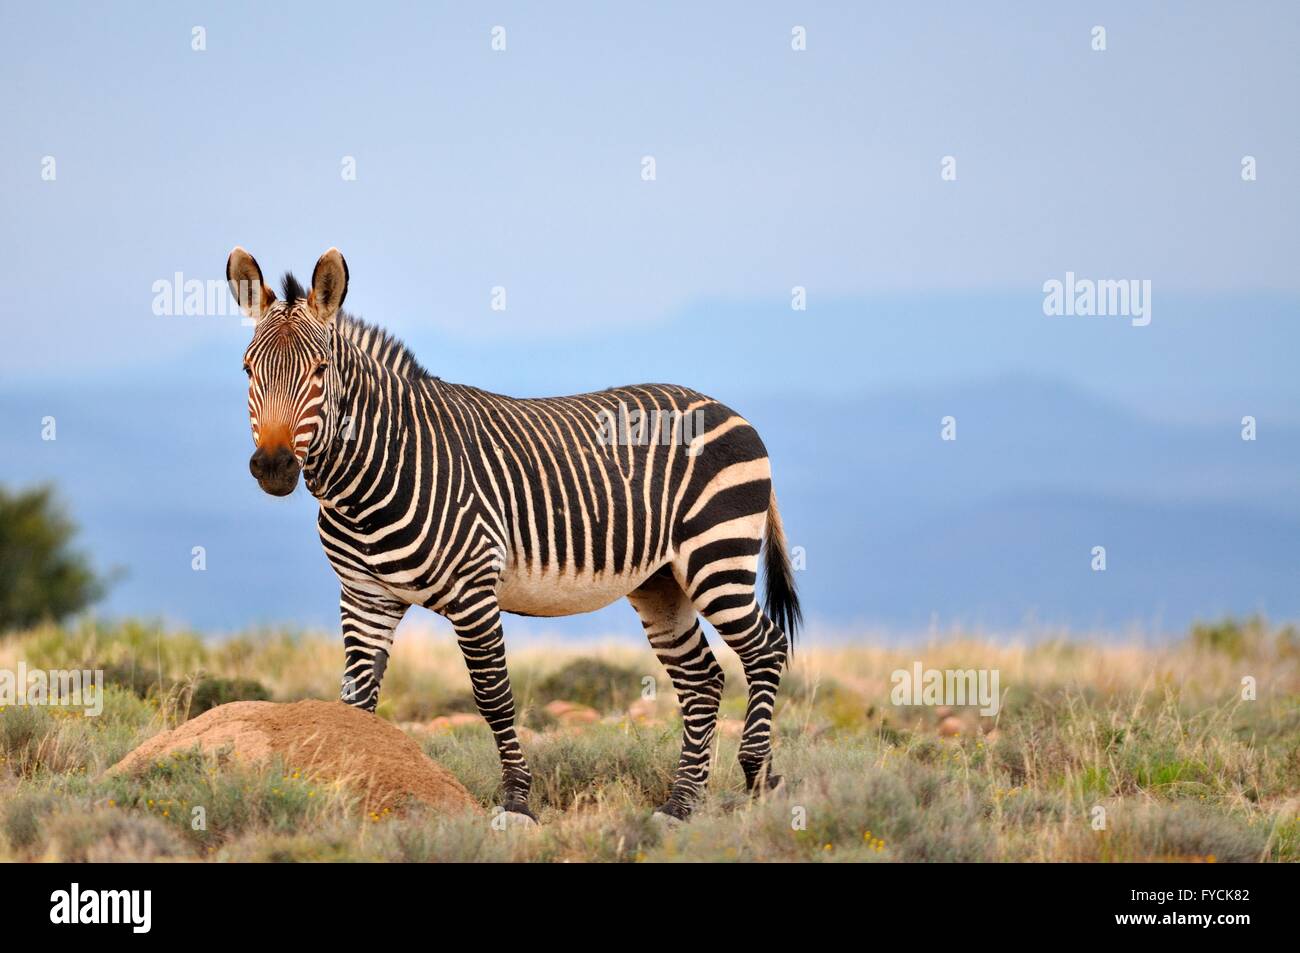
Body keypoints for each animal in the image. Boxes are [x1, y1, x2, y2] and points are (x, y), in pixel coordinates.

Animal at [228, 246, 802, 822]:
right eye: (248, 369)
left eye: (319, 371)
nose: (273, 467)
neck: (372, 477)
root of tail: (729, 410)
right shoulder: (365, 596)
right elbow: (356, 703)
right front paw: (351, 794)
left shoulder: (472, 589)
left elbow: (492, 695)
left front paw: (517, 800)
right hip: (660, 581)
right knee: (702, 681)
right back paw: (681, 804)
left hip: (716, 557)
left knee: (765, 649)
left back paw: (757, 777)